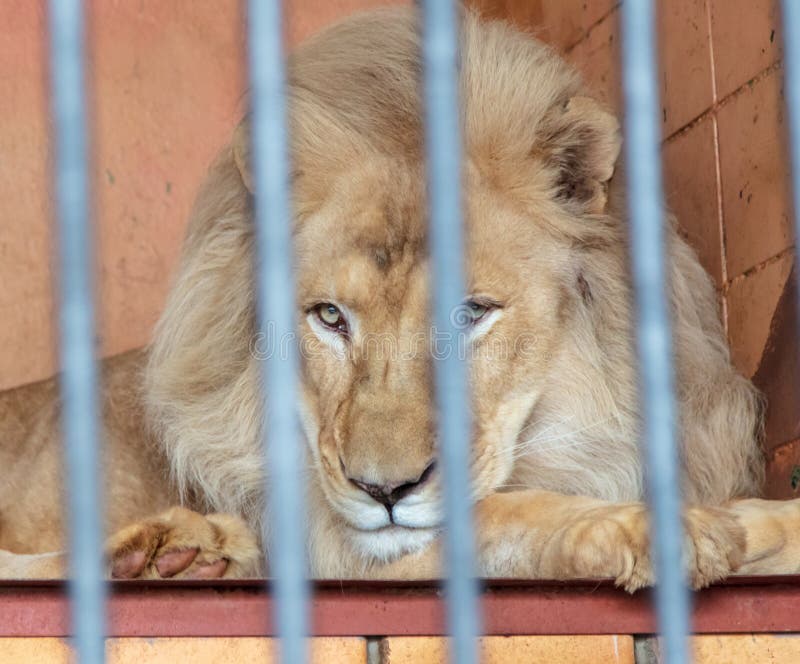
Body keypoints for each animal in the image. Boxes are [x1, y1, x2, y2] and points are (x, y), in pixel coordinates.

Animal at [1, 7, 799, 588]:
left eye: (471, 313)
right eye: (329, 317)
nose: (383, 490)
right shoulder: (335, 544)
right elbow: (504, 515)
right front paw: (653, 529)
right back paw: (174, 549)